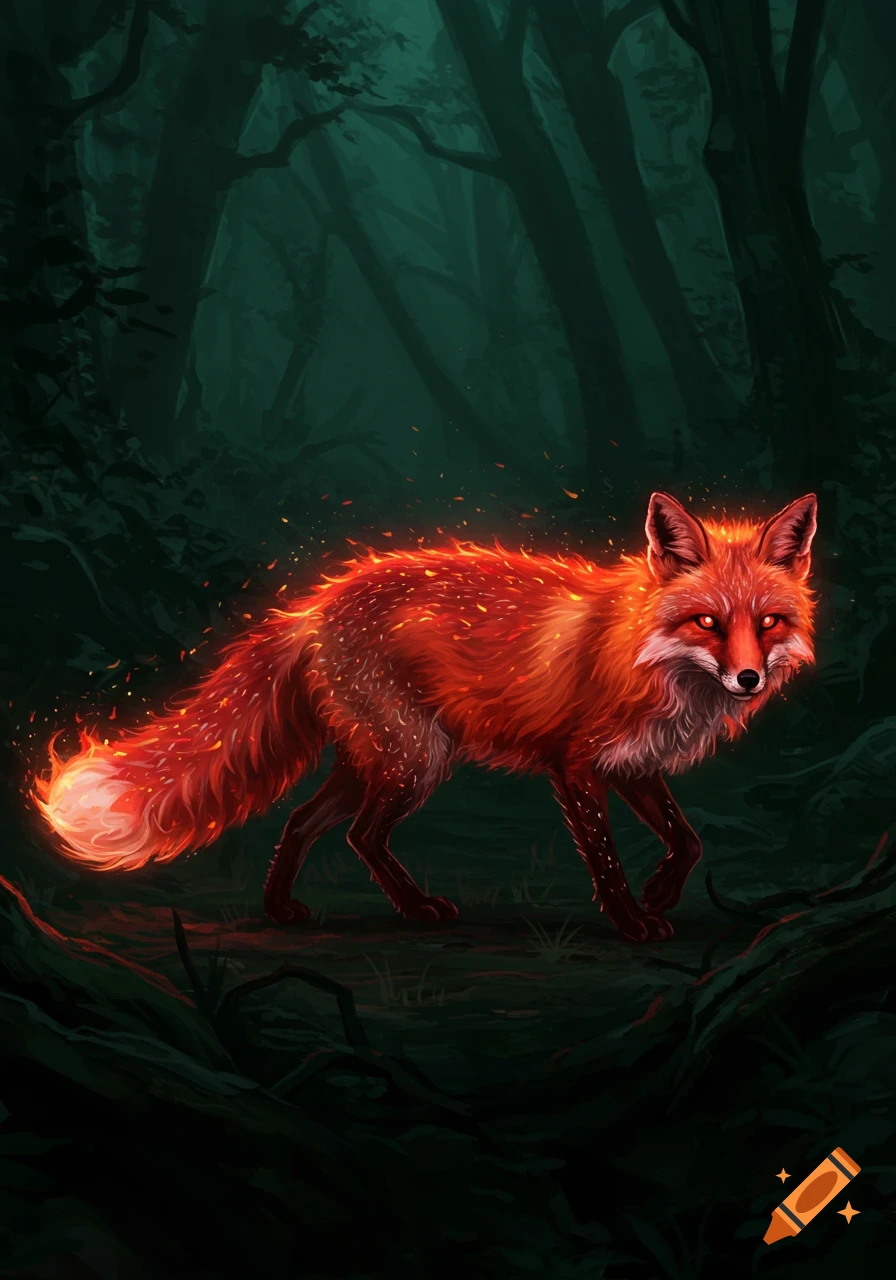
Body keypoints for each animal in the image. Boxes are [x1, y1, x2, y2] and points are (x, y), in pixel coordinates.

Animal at [32, 491, 818, 942]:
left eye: (768, 622)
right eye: (708, 621)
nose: (748, 678)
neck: (642, 652)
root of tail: (313, 607)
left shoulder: (633, 764)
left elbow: (689, 841)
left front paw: (662, 891)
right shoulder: (576, 764)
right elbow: (605, 859)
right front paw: (631, 918)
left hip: (377, 759)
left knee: (303, 821)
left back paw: (282, 911)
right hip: (415, 760)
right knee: (358, 834)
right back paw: (414, 911)